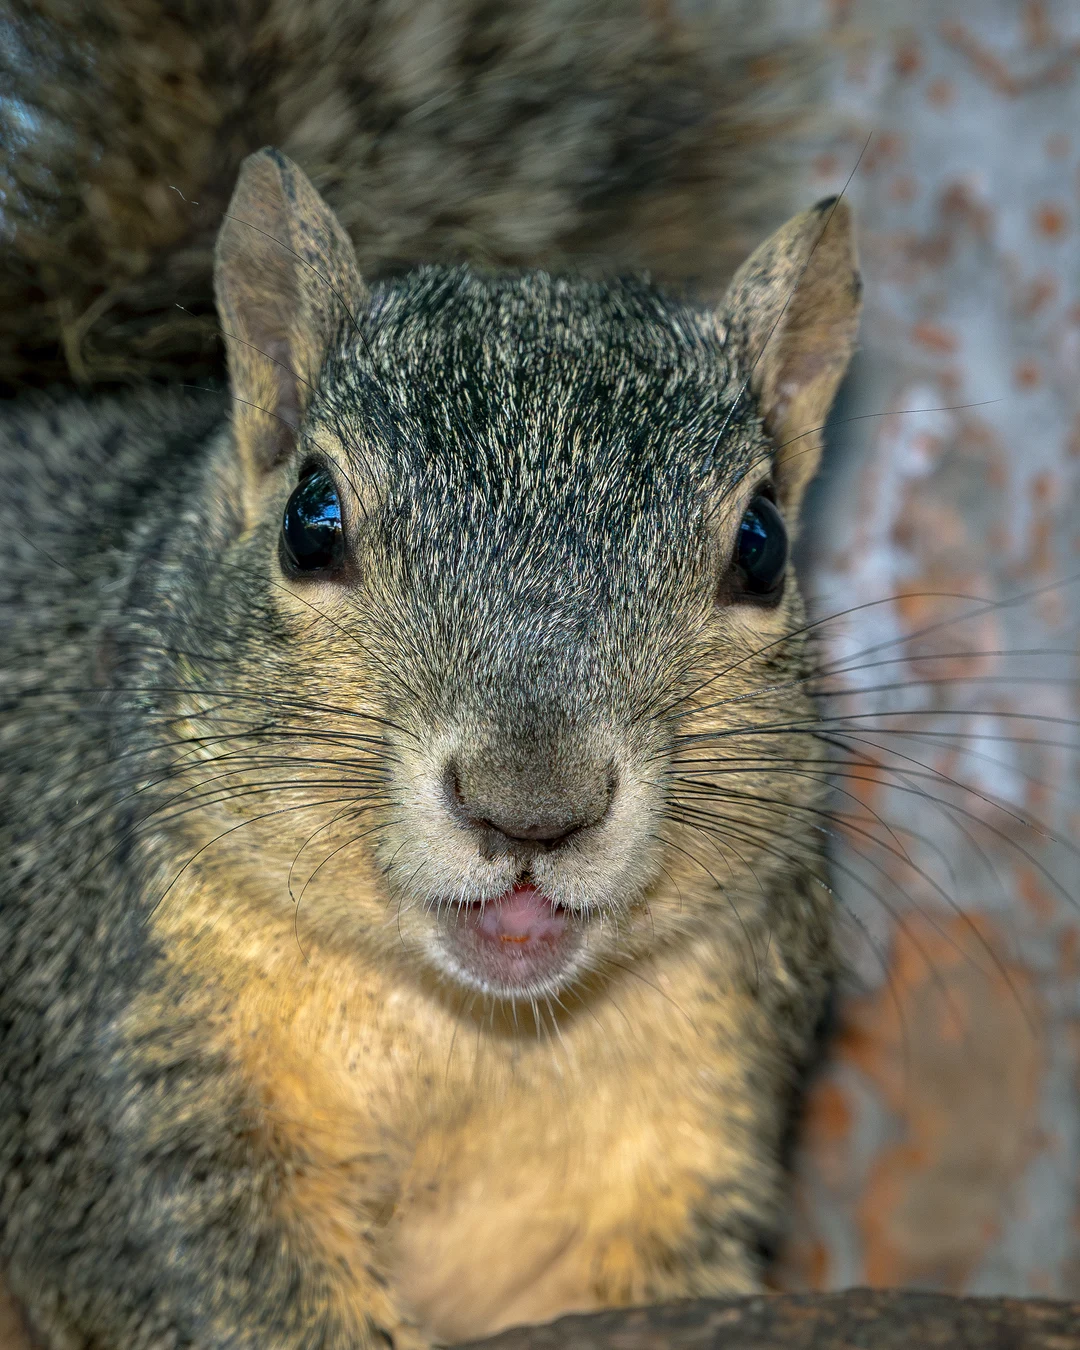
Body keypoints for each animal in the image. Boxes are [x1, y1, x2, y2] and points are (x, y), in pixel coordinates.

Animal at [0, 4, 861, 1348]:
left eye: (763, 548)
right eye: (312, 521)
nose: (532, 809)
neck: (473, 1036)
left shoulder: (696, 1120)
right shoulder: (120, 1066)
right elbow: (210, 1279)